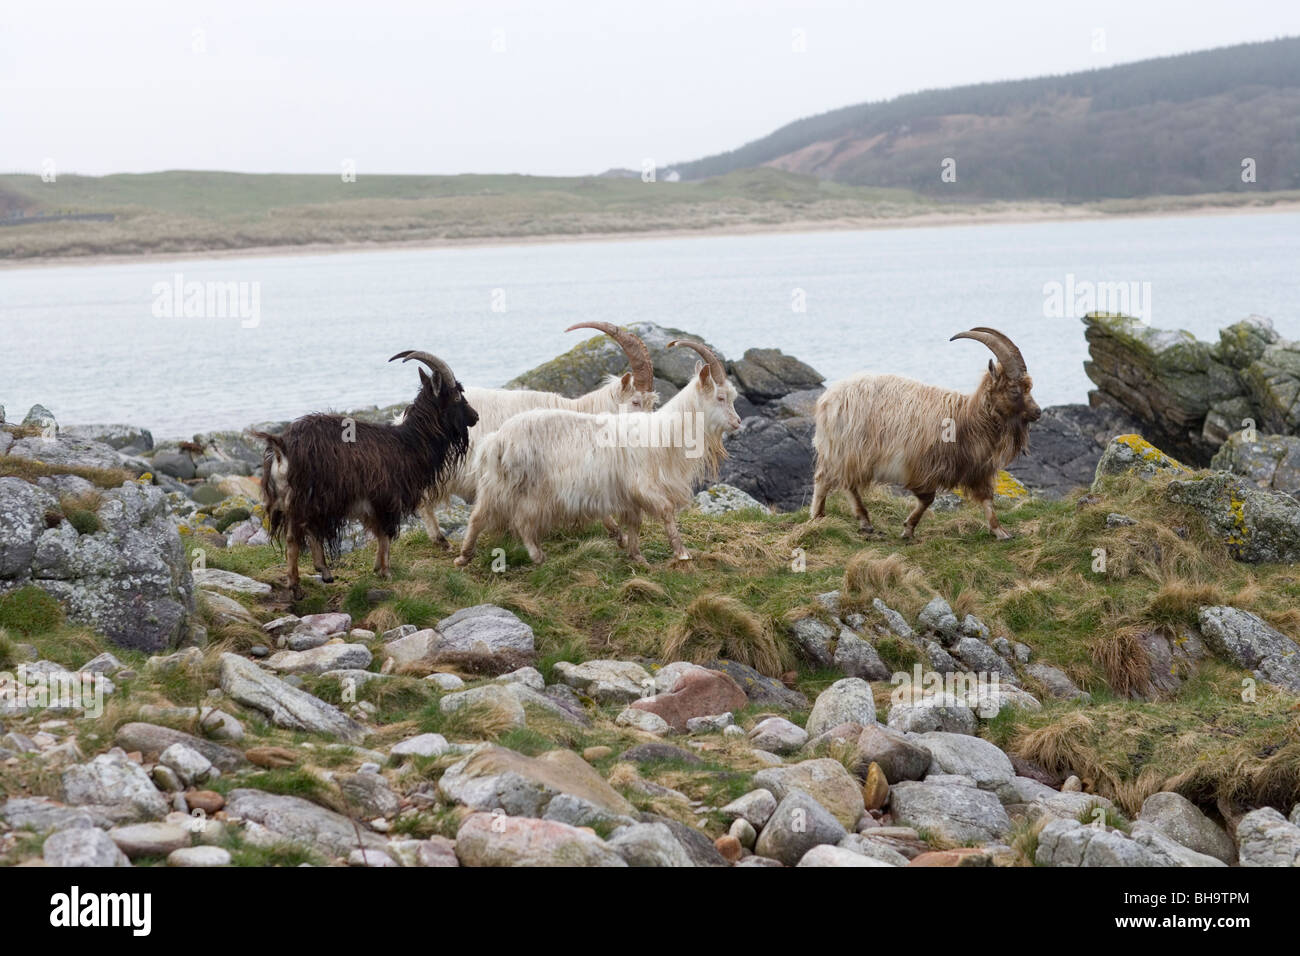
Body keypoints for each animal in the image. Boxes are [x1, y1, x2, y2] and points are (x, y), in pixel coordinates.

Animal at [256, 350, 477, 597]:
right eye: (457, 396)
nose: (475, 417)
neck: (408, 443)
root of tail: (281, 446)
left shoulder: (372, 503)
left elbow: (380, 533)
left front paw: (378, 569)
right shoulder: (387, 498)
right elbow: (386, 535)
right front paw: (385, 571)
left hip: (297, 502)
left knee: (309, 532)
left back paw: (324, 572)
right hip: (305, 500)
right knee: (295, 538)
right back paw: (296, 585)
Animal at [454, 340, 740, 567]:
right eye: (721, 397)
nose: (738, 422)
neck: (664, 433)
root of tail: (496, 439)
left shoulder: (629, 494)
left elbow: (635, 522)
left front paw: (637, 556)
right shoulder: (644, 485)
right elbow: (666, 511)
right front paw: (682, 554)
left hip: (516, 489)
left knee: (510, 520)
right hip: (514, 487)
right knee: (490, 518)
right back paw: (479, 556)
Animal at [808, 327, 1041, 540]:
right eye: (1014, 390)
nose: (1037, 412)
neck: (966, 419)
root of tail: (827, 398)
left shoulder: (975, 468)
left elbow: (986, 499)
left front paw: (1000, 531)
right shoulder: (922, 466)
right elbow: (928, 499)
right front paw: (908, 529)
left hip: (849, 454)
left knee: (846, 483)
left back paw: (861, 522)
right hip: (843, 449)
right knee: (826, 478)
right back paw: (821, 517)